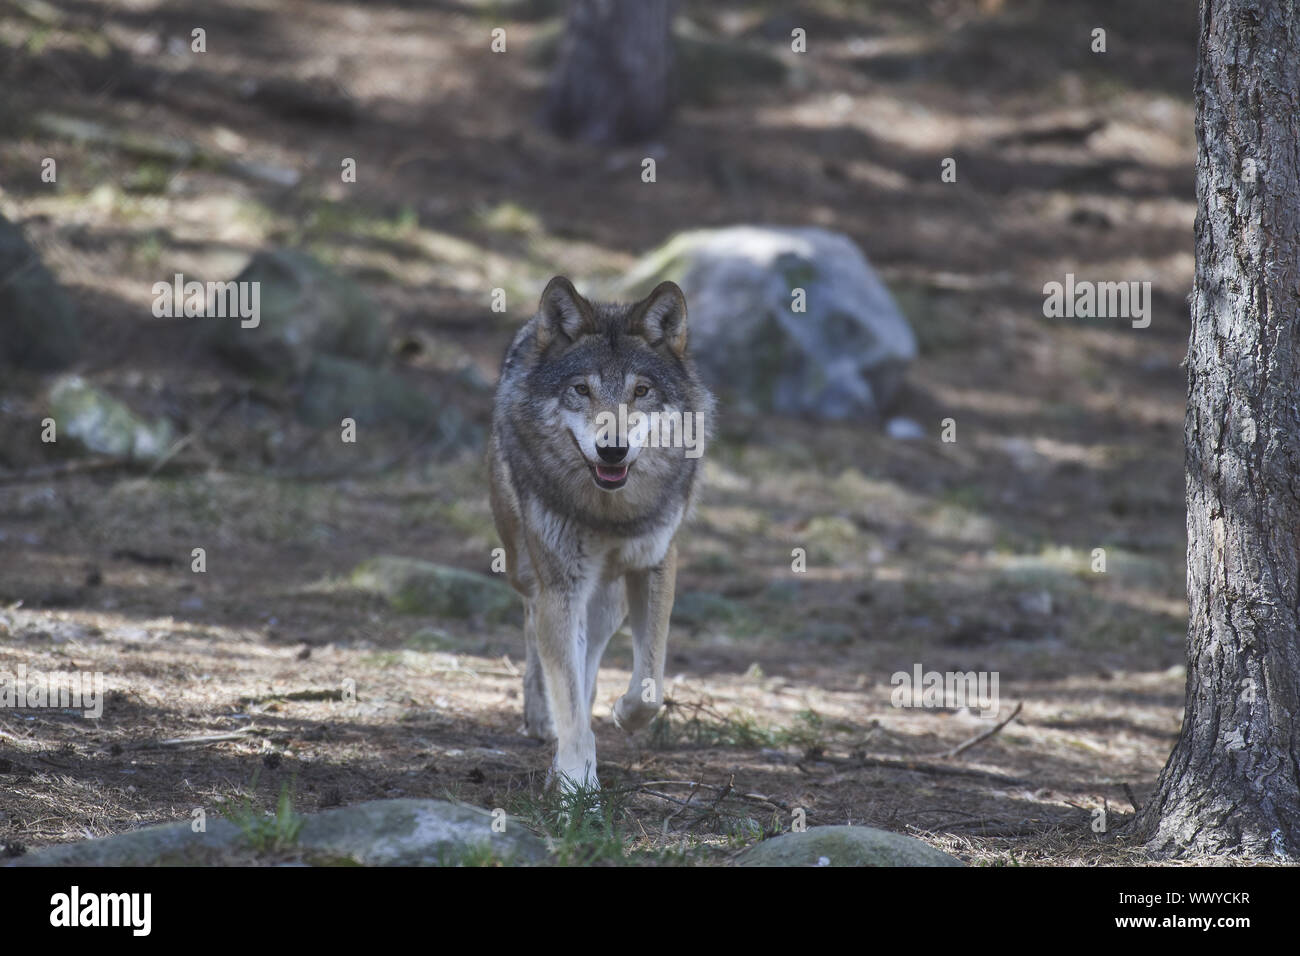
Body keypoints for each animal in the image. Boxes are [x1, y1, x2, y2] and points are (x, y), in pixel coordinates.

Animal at [489, 276, 714, 790]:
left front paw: (619, 718)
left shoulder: (656, 564)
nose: (613, 450)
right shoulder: (561, 584)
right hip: (529, 571)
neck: (609, 513)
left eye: (642, 390)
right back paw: (542, 720)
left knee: (588, 661)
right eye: (581, 389)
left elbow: (648, 687)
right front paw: (579, 788)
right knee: (537, 631)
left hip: (608, 600)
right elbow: (569, 700)